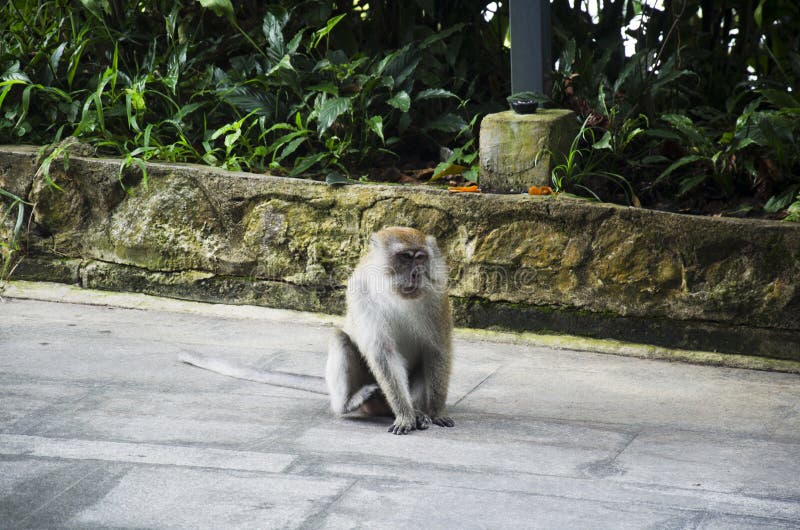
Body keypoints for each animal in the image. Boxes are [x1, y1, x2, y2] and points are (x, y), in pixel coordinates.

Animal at [180, 226, 454, 435]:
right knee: (340, 338)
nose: (417, 273)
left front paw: (434, 412)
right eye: (405, 257)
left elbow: (436, 350)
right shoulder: (360, 290)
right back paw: (348, 404)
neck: (390, 289)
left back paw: (419, 412)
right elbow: (382, 352)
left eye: (420, 258)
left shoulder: (436, 294)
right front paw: (406, 415)